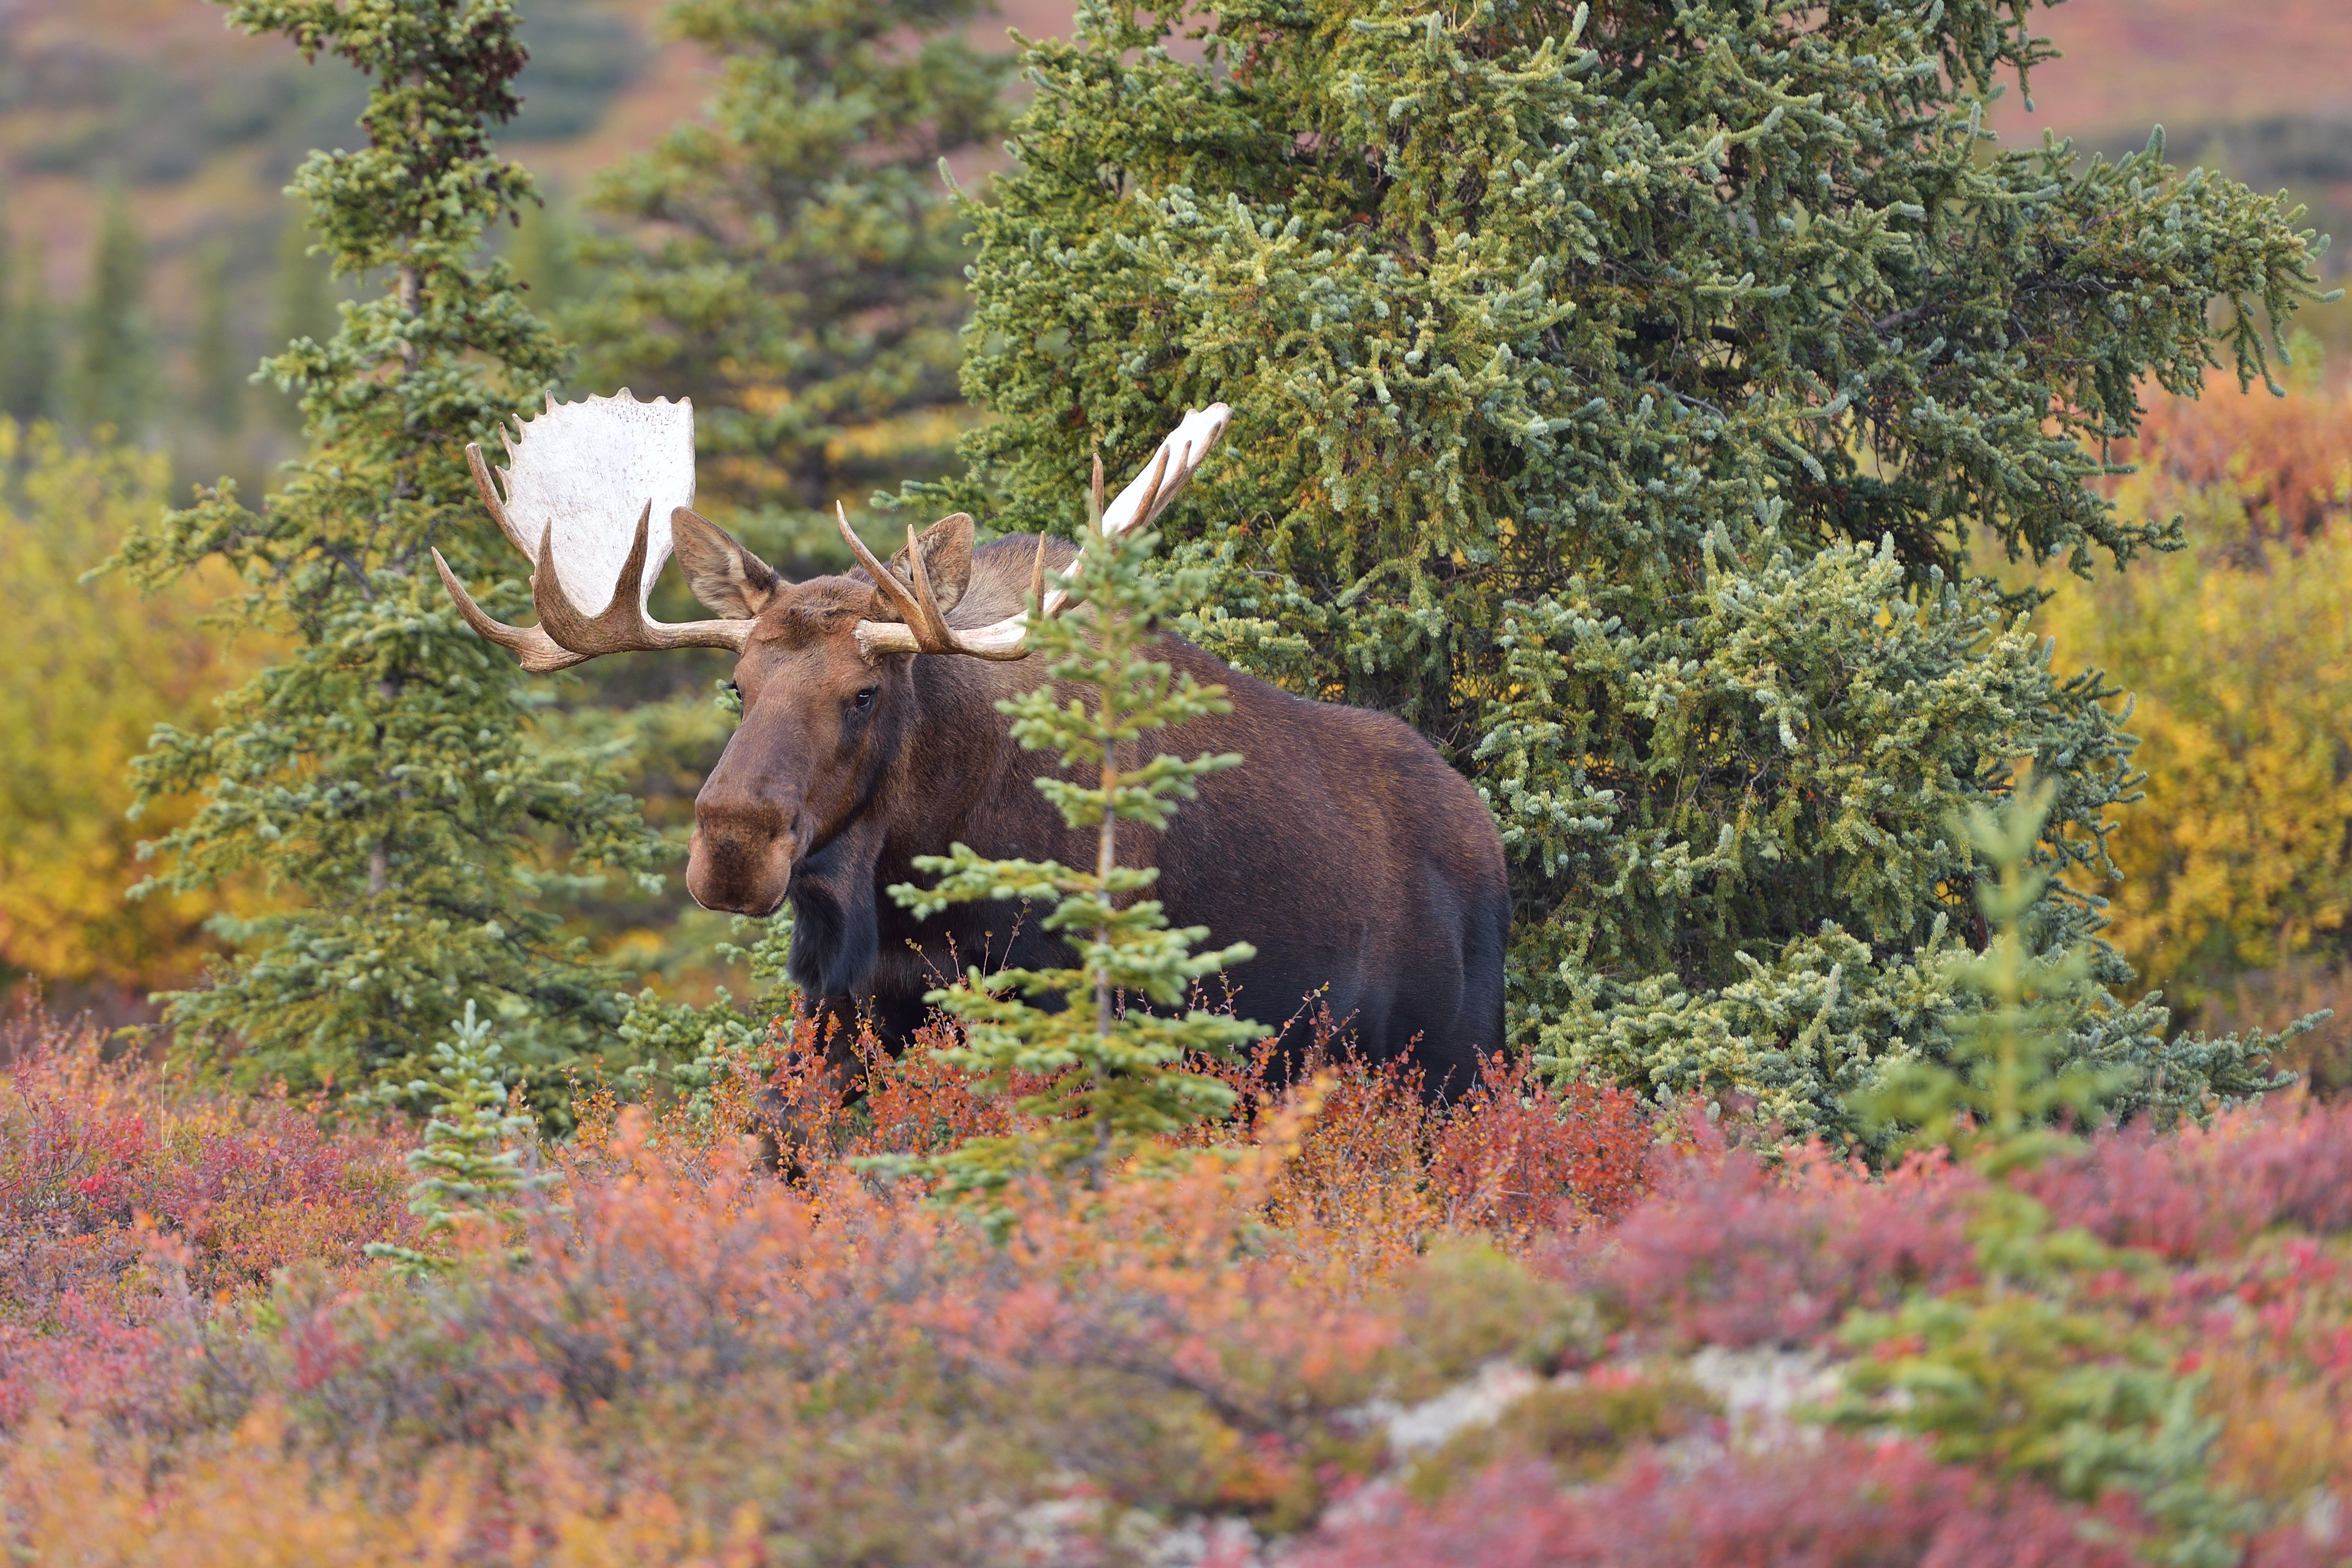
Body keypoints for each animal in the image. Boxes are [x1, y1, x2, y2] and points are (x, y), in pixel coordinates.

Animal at [433, 392, 1510, 1103]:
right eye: (736, 687)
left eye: (864, 692)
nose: (733, 846)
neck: (909, 893)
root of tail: (1489, 834)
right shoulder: (840, 1016)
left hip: (1448, 1060)